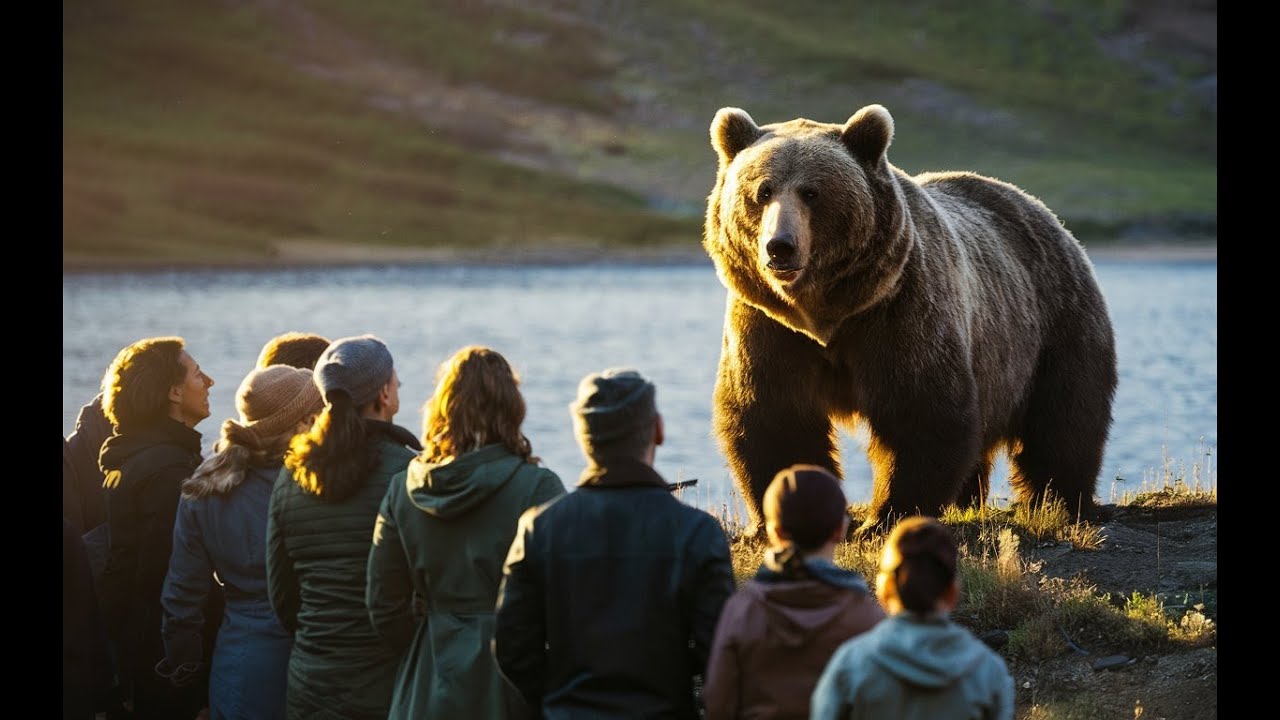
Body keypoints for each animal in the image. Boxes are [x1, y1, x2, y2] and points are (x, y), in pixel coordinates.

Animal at [702, 104, 1117, 535]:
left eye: (812, 192)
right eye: (762, 191)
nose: (780, 246)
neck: (828, 311)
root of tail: (1046, 214)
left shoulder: (899, 311)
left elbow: (921, 411)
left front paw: (885, 517)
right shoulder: (770, 326)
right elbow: (774, 416)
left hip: (1055, 324)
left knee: (1064, 420)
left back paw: (1058, 500)